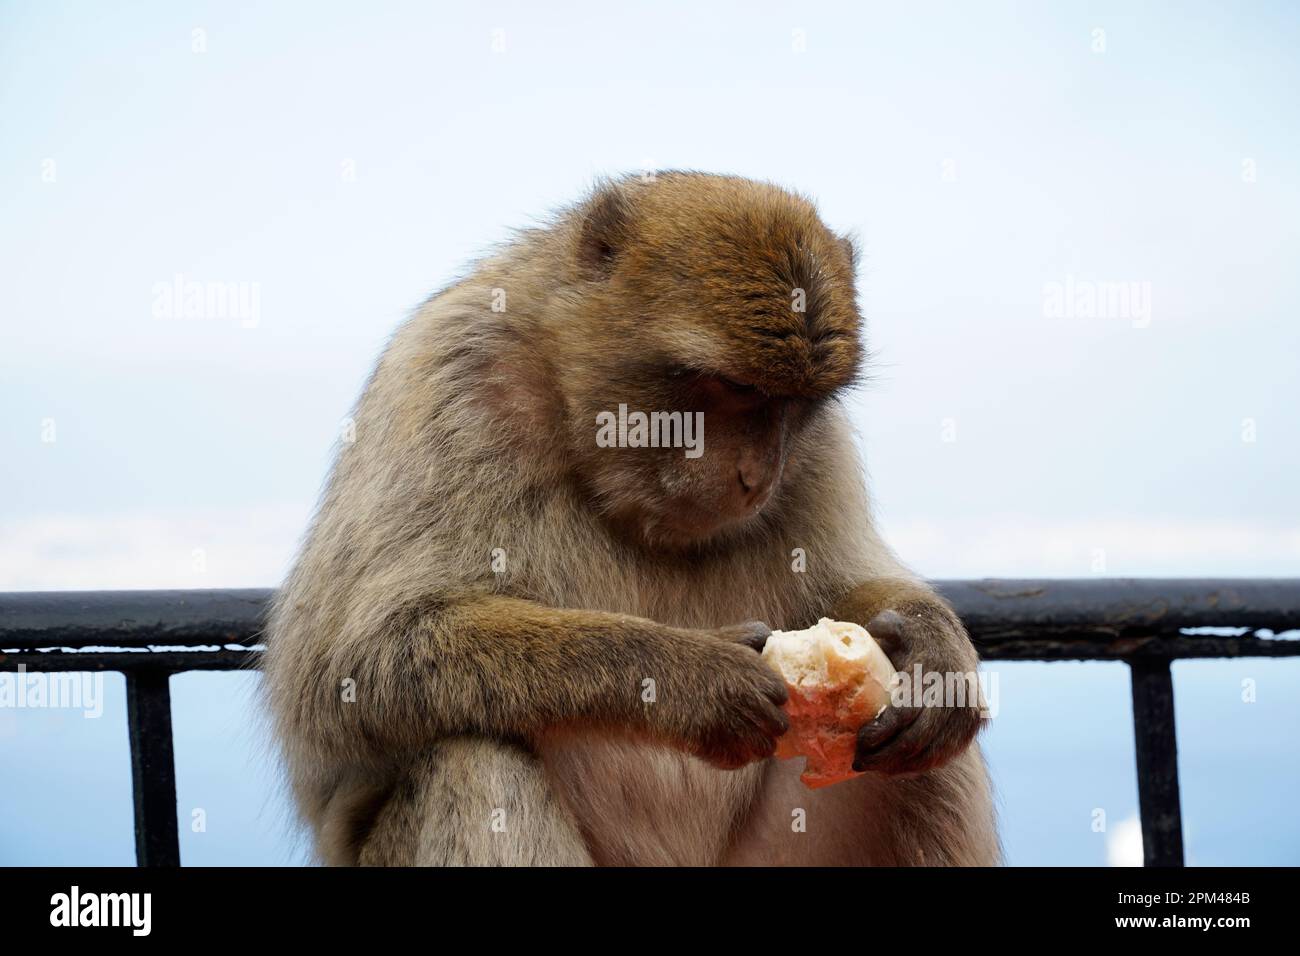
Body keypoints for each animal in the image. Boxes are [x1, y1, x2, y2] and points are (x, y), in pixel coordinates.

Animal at [264, 171, 1000, 867]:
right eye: (736, 388)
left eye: (796, 402)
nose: (758, 477)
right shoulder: (450, 375)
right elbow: (351, 669)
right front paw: (691, 677)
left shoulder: (817, 451)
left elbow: (842, 594)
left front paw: (933, 648)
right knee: (473, 758)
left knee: (932, 767)